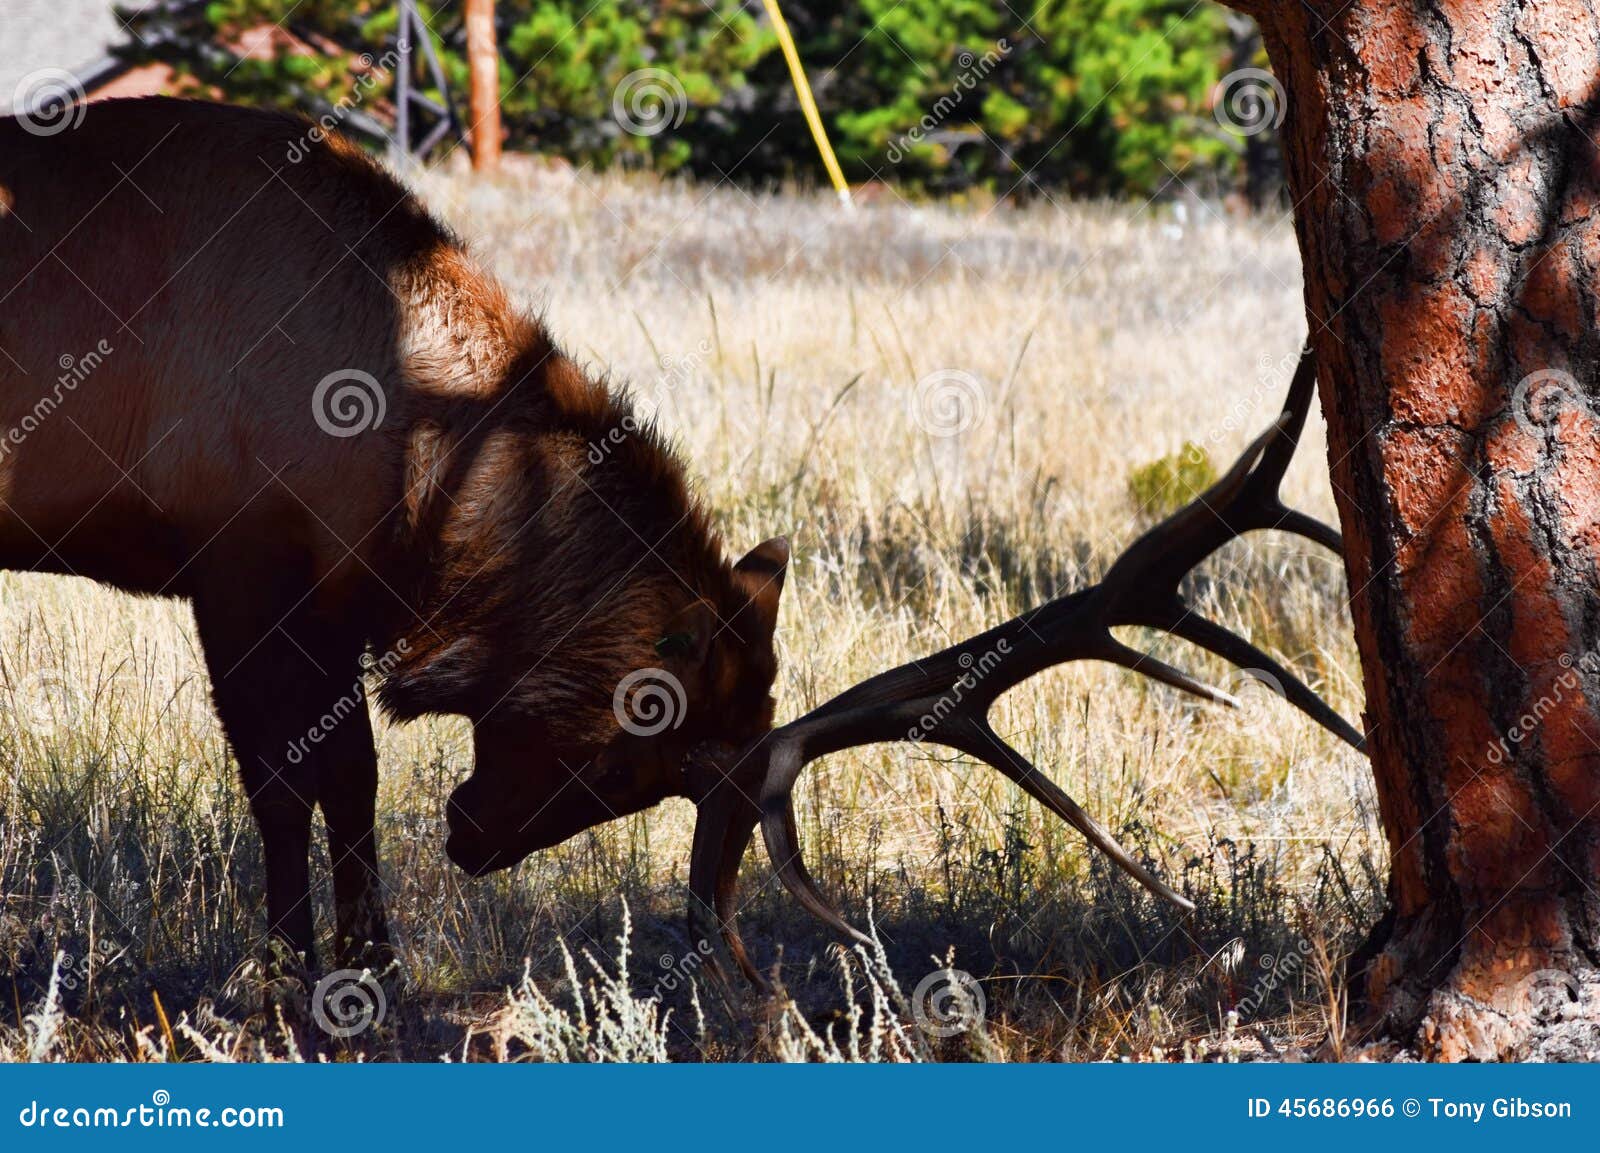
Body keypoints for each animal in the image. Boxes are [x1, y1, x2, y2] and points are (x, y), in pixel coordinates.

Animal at [0, 97, 789, 977]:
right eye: (622, 768)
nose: (474, 839)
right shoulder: (237, 573)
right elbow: (279, 783)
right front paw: (285, 965)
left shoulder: (332, 601)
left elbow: (352, 776)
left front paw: (371, 957)